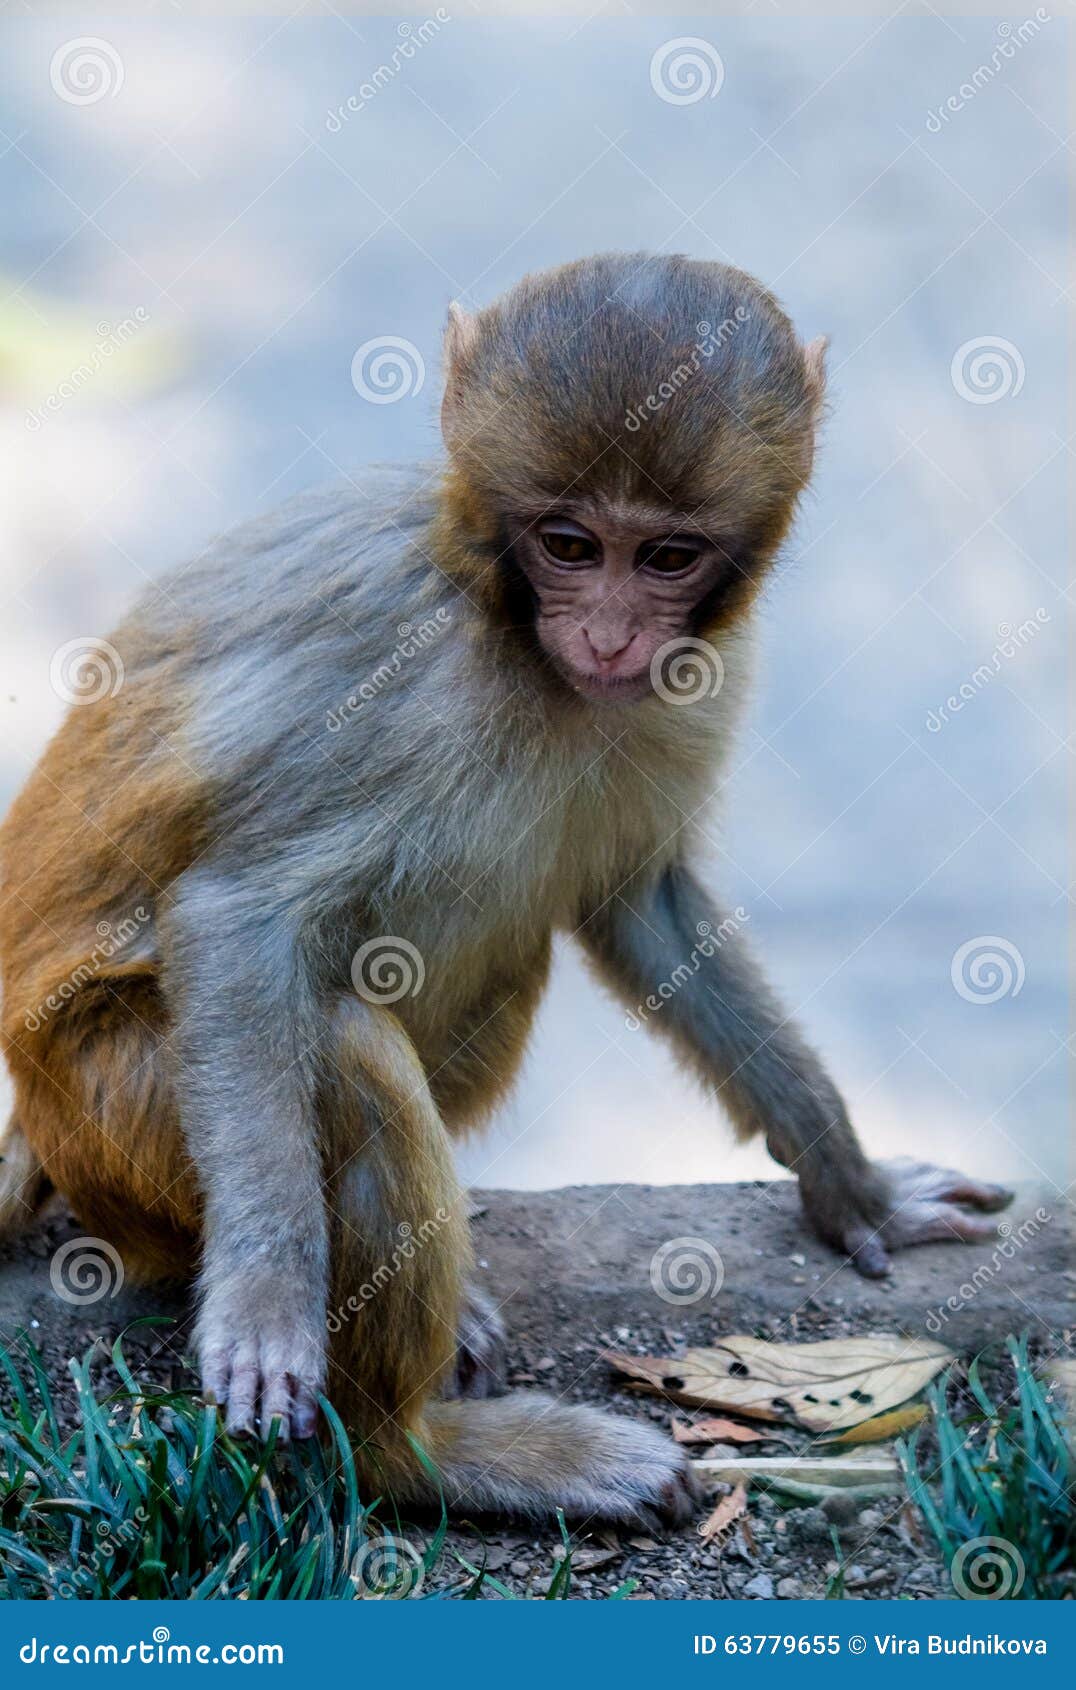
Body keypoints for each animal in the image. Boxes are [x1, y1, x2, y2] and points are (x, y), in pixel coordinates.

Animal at [0, 253, 1012, 1527]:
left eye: (664, 557)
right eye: (569, 543)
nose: (613, 634)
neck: (510, 627)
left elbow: (642, 902)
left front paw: (853, 1183)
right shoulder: (397, 669)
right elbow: (238, 914)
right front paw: (269, 1297)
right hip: (116, 1127)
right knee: (344, 1044)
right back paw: (424, 1453)